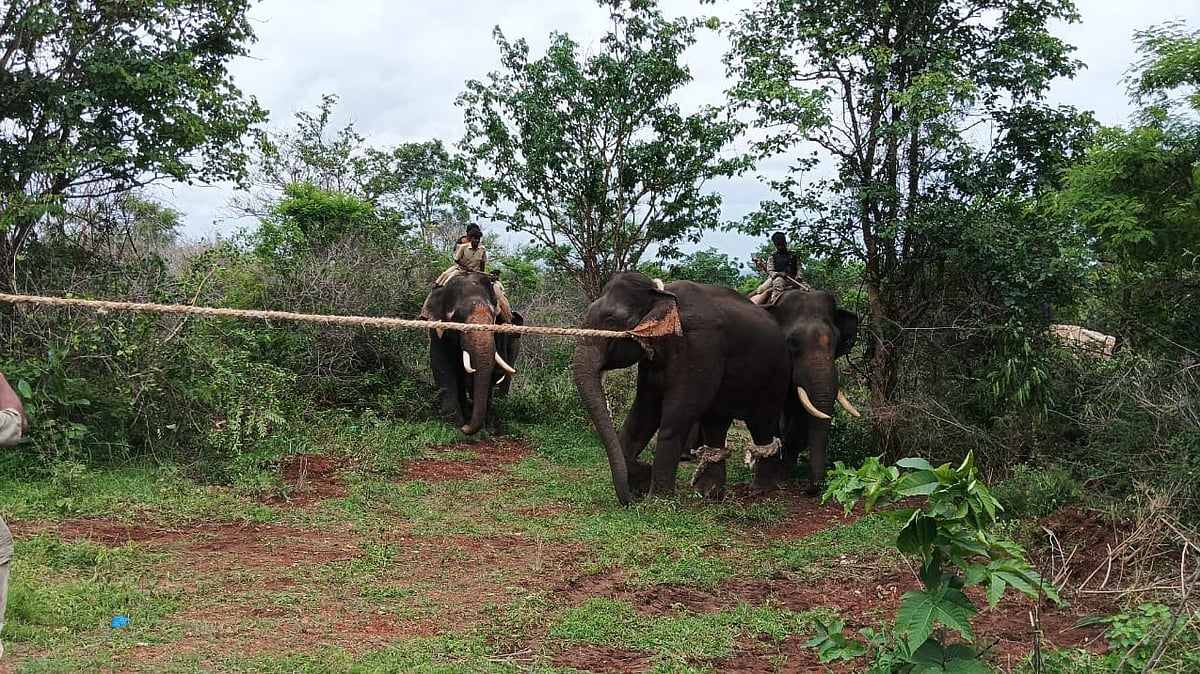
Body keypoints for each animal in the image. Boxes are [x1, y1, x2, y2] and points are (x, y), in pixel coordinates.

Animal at [421, 272, 523, 435]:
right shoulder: (437, 329)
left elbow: (491, 373)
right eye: (457, 319)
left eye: (494, 316)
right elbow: (442, 367)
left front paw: (486, 428)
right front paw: (455, 425)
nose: (466, 428)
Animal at [571, 272, 791, 505]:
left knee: (762, 423)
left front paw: (656, 501)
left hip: (777, 373)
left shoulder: (700, 346)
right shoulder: (652, 361)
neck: (662, 295)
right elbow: (642, 413)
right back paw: (708, 493)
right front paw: (642, 478)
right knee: (716, 423)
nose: (628, 501)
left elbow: (678, 413)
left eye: (612, 321)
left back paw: (760, 490)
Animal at [753, 289, 860, 494]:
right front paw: (779, 473)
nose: (813, 489)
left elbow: (801, 413)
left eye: (837, 340)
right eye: (792, 342)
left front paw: (786, 468)